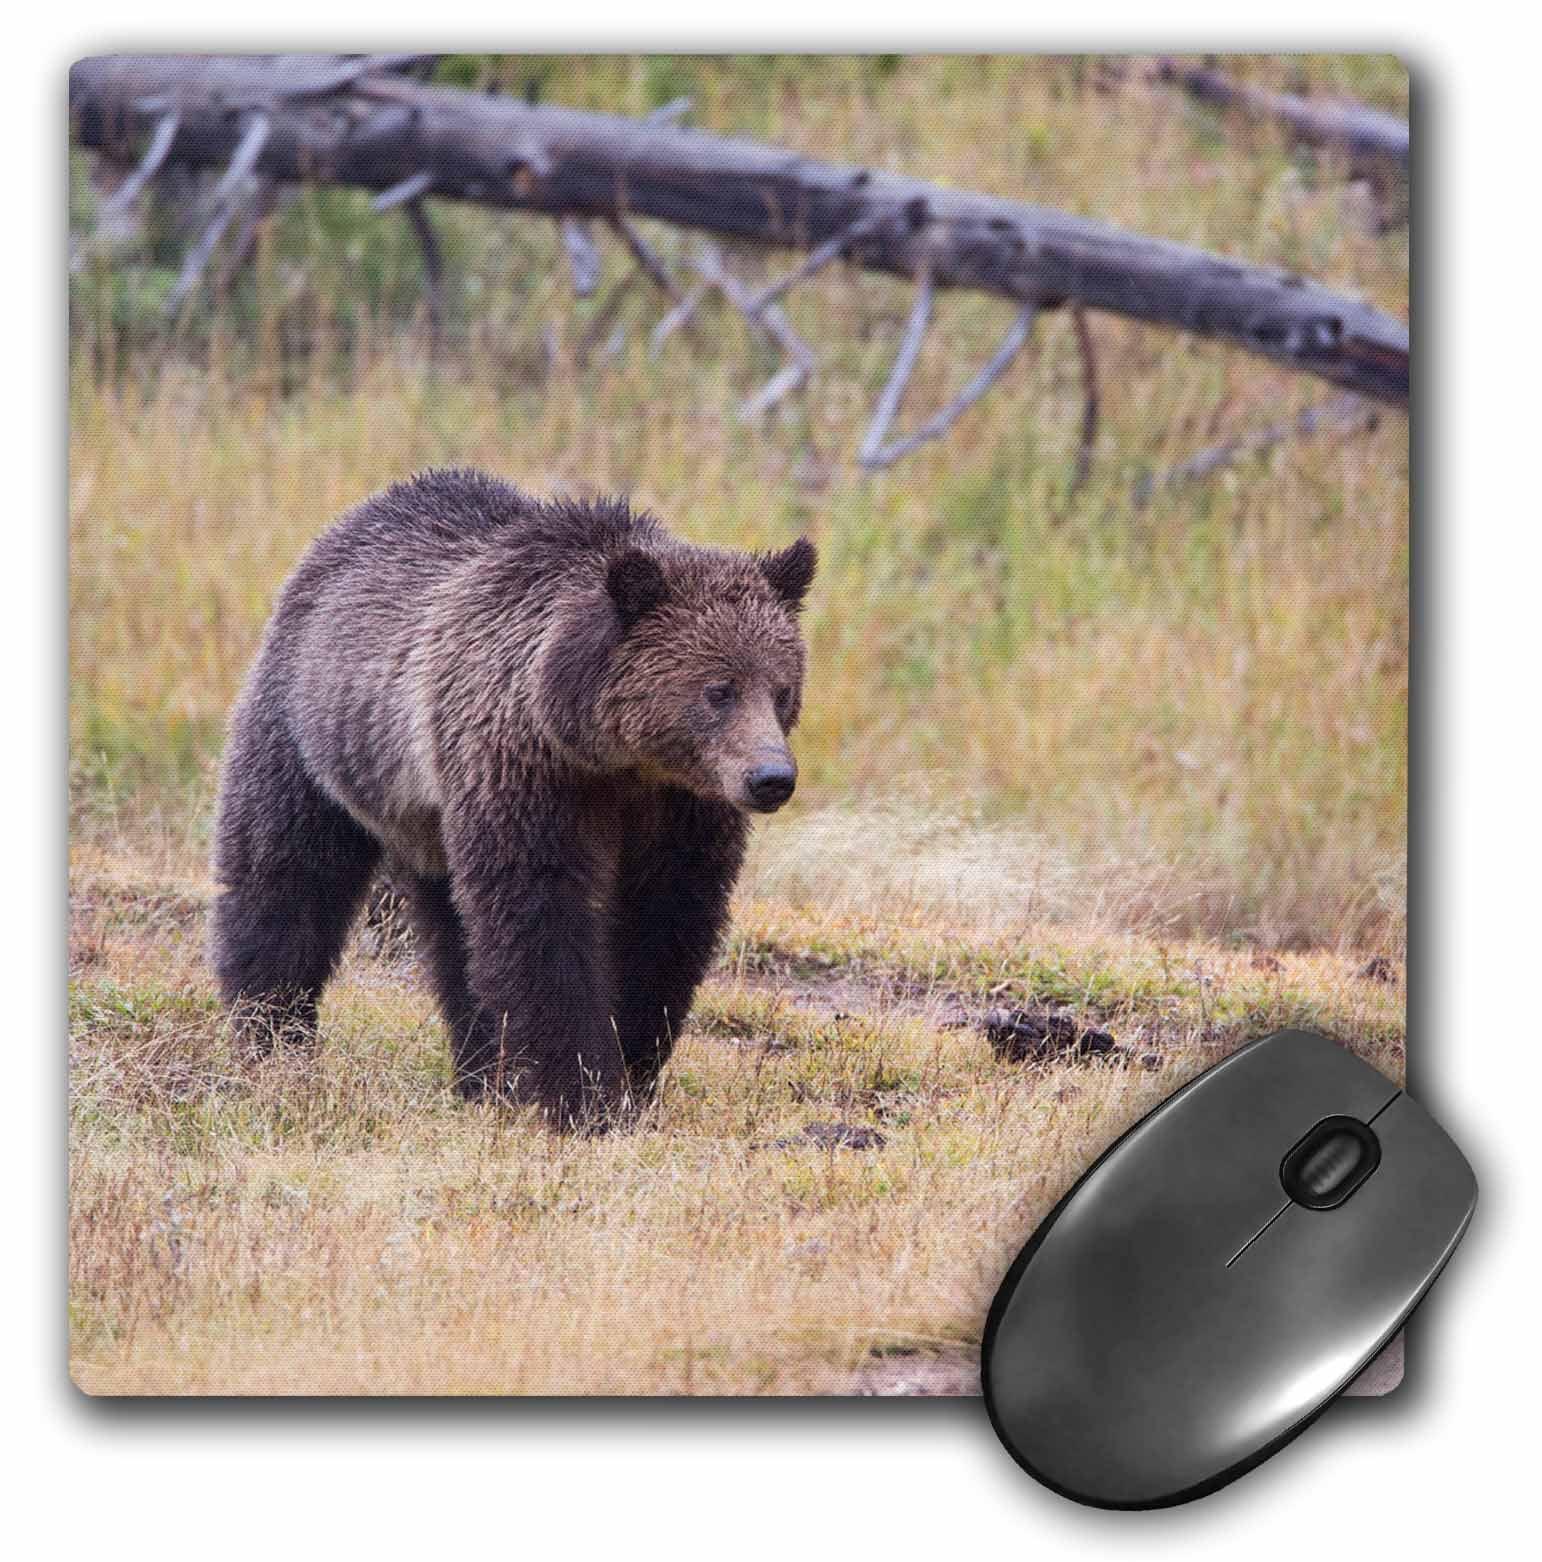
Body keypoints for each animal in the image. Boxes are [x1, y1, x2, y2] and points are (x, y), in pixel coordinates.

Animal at [209, 469, 816, 1129]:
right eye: (718, 690)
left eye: (782, 690)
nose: (771, 777)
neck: (609, 754)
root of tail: (348, 525)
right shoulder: (525, 773)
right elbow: (538, 915)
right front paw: (578, 1091)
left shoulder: (680, 808)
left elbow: (665, 923)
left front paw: (630, 1067)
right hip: (314, 736)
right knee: (285, 875)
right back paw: (272, 1032)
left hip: (428, 815)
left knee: (452, 931)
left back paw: (479, 1074)